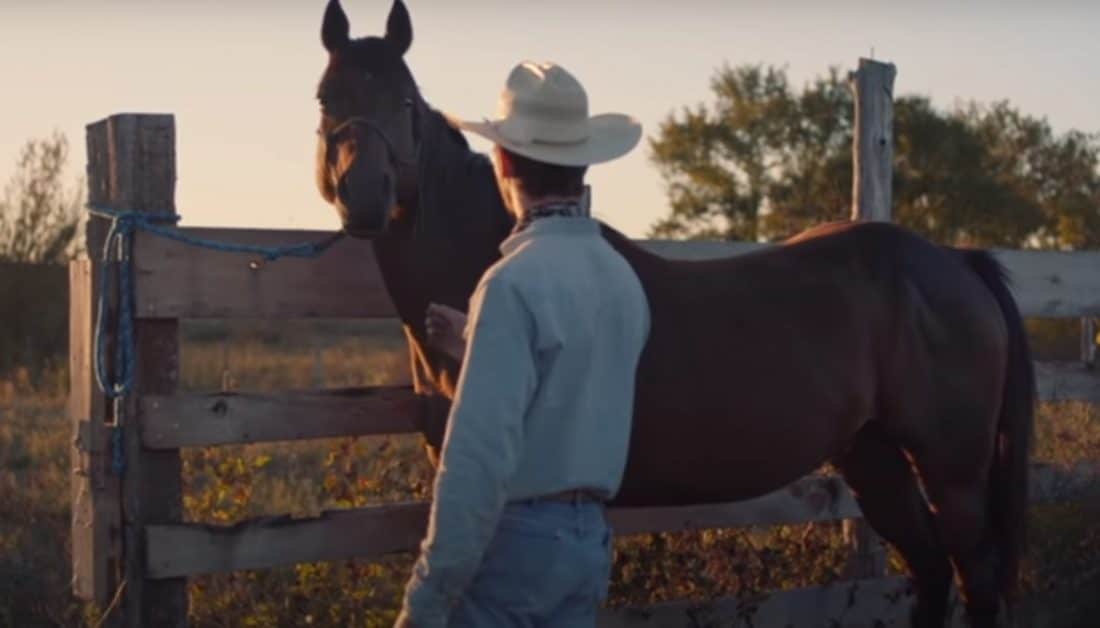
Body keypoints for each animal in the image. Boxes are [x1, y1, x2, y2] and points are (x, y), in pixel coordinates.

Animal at [311, 2, 1035, 626]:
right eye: (325, 98)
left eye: (405, 101)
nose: (364, 197)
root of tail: (954, 261)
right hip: (874, 456)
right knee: (933, 572)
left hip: (953, 469)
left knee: (975, 578)